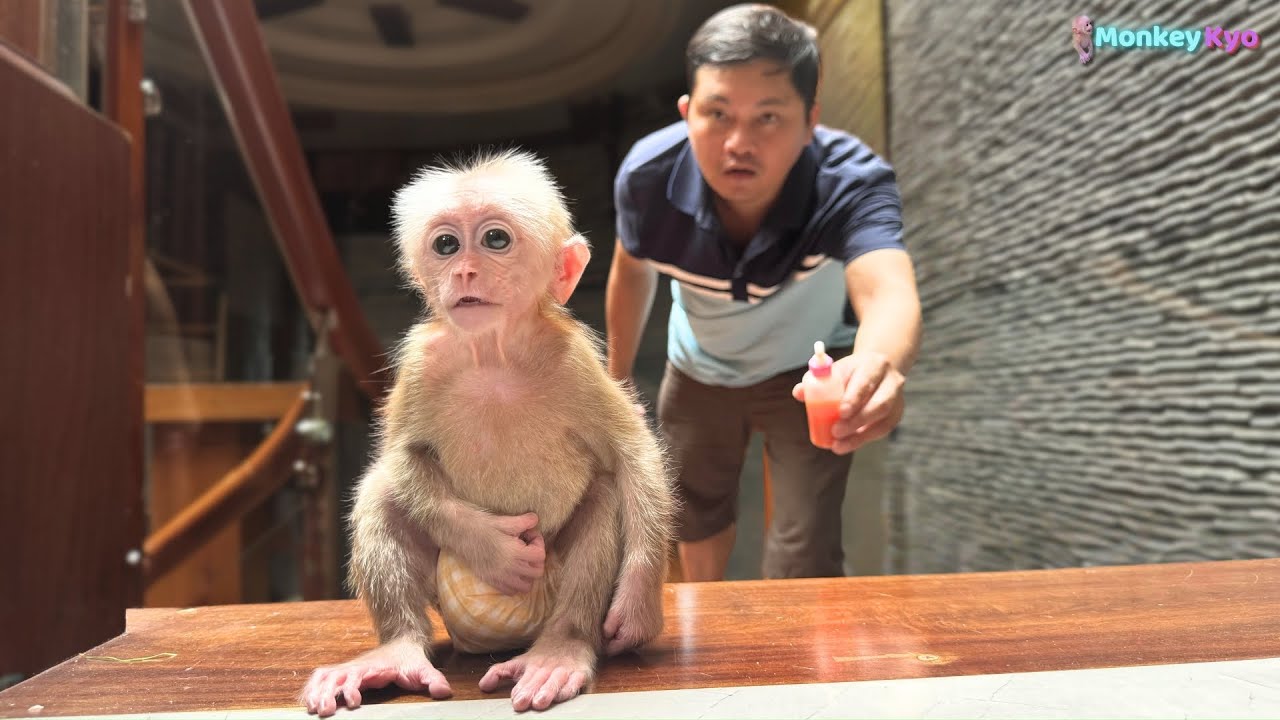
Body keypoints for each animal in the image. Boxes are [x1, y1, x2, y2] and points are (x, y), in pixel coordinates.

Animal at [299, 149, 676, 717]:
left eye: (495, 239)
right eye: (446, 245)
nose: (464, 270)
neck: (493, 352)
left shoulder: (573, 362)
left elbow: (632, 456)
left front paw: (638, 600)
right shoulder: (422, 362)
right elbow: (400, 457)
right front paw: (489, 546)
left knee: (606, 495)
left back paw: (561, 648)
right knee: (382, 495)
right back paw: (395, 649)